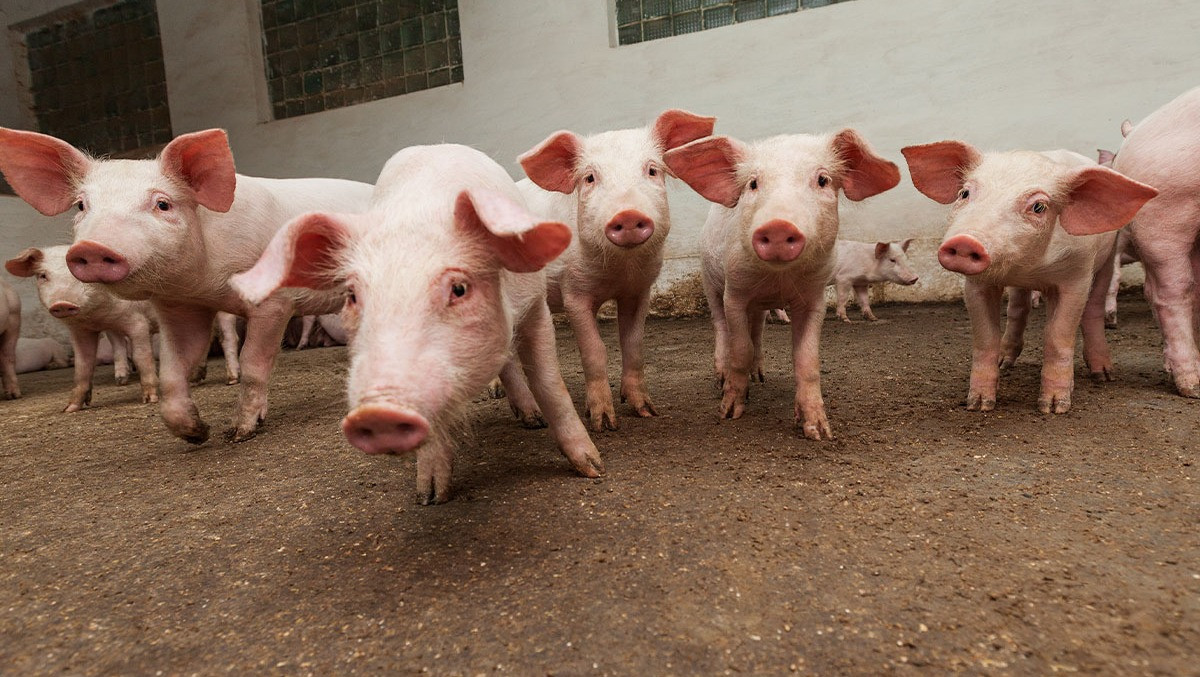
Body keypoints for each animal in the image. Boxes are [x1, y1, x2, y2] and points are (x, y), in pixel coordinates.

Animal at [6, 245, 159, 411]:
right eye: (42, 275)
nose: (62, 304)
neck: (96, 318)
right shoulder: (82, 331)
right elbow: (82, 366)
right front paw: (70, 408)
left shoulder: (138, 322)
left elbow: (141, 356)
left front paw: (150, 400)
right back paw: (120, 380)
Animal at [231, 144, 603, 504]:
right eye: (352, 295)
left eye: (459, 288)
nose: (377, 412)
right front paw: (430, 497)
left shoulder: (535, 305)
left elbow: (549, 384)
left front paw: (593, 467)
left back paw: (532, 420)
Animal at [514, 109, 716, 431]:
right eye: (589, 178)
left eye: (652, 170)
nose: (628, 215)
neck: (618, 272)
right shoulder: (574, 292)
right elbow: (594, 350)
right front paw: (603, 424)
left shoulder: (639, 290)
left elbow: (633, 344)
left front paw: (646, 411)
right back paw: (532, 419)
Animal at [665, 130, 901, 440]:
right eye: (753, 183)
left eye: (823, 180)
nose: (778, 226)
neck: (778, 280)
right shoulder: (735, 292)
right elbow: (740, 348)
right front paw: (729, 413)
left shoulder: (814, 297)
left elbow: (807, 359)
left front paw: (819, 432)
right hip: (708, 278)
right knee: (720, 328)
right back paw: (721, 379)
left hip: (759, 307)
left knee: (757, 330)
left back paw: (760, 377)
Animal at [902, 142, 1157, 413]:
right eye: (964, 193)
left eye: (1038, 207)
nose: (965, 241)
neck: (1030, 267)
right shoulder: (977, 285)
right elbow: (986, 338)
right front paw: (978, 405)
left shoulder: (1077, 276)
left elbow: (1057, 334)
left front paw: (1054, 408)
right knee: (1018, 309)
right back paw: (1005, 361)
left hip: (1109, 255)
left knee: (1093, 309)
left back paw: (1103, 375)